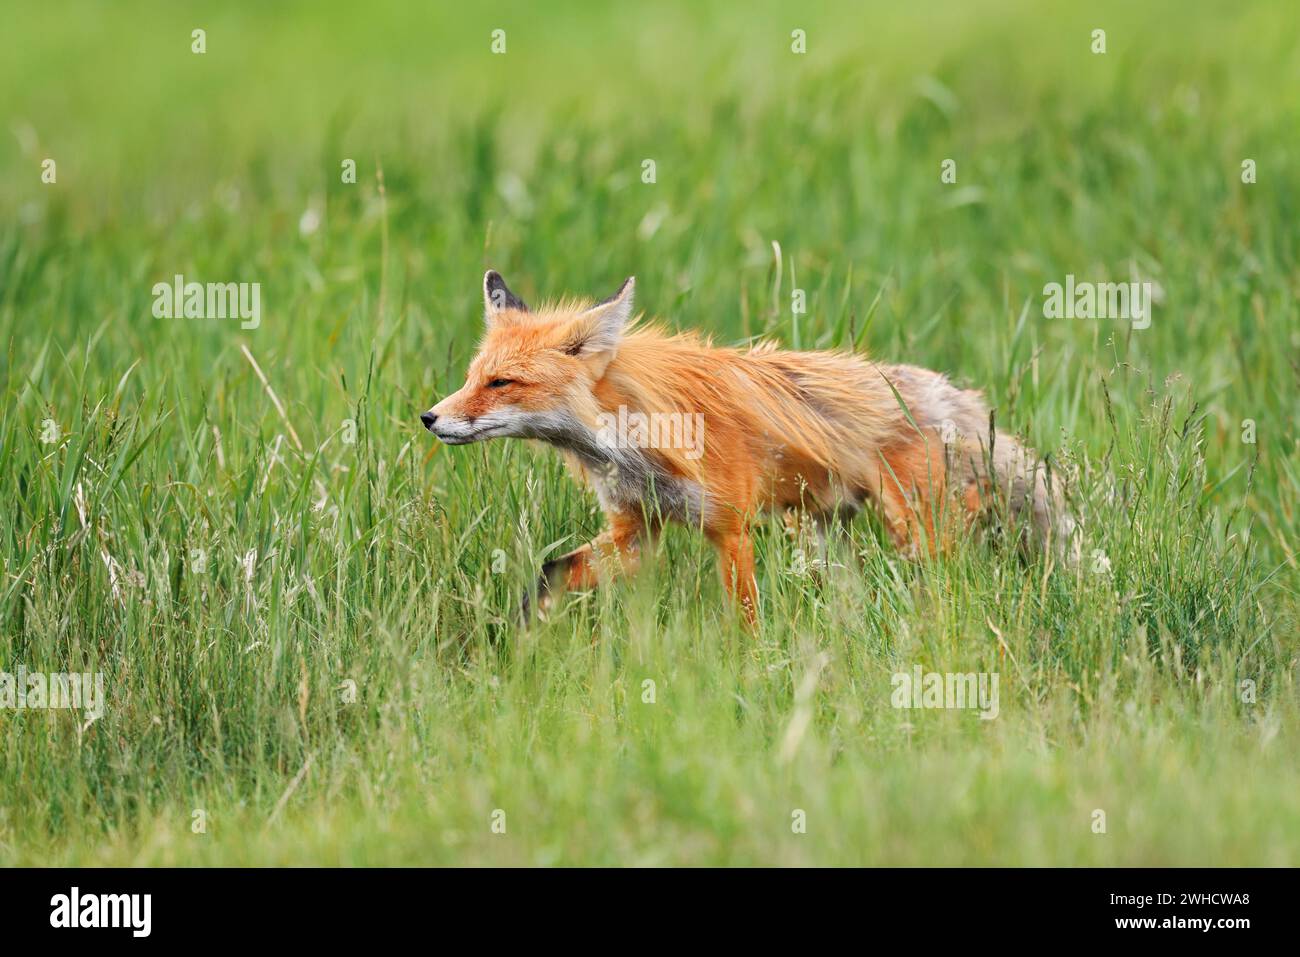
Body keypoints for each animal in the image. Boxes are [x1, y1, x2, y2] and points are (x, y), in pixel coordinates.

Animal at [422, 271, 1077, 624]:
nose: (429, 418)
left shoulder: (730, 528)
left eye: (501, 383)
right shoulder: (636, 533)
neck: (633, 439)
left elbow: (746, 618)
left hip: (912, 527)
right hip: (822, 535)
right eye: (473, 376)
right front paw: (513, 639)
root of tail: (938, 387)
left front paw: (753, 677)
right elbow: (548, 573)